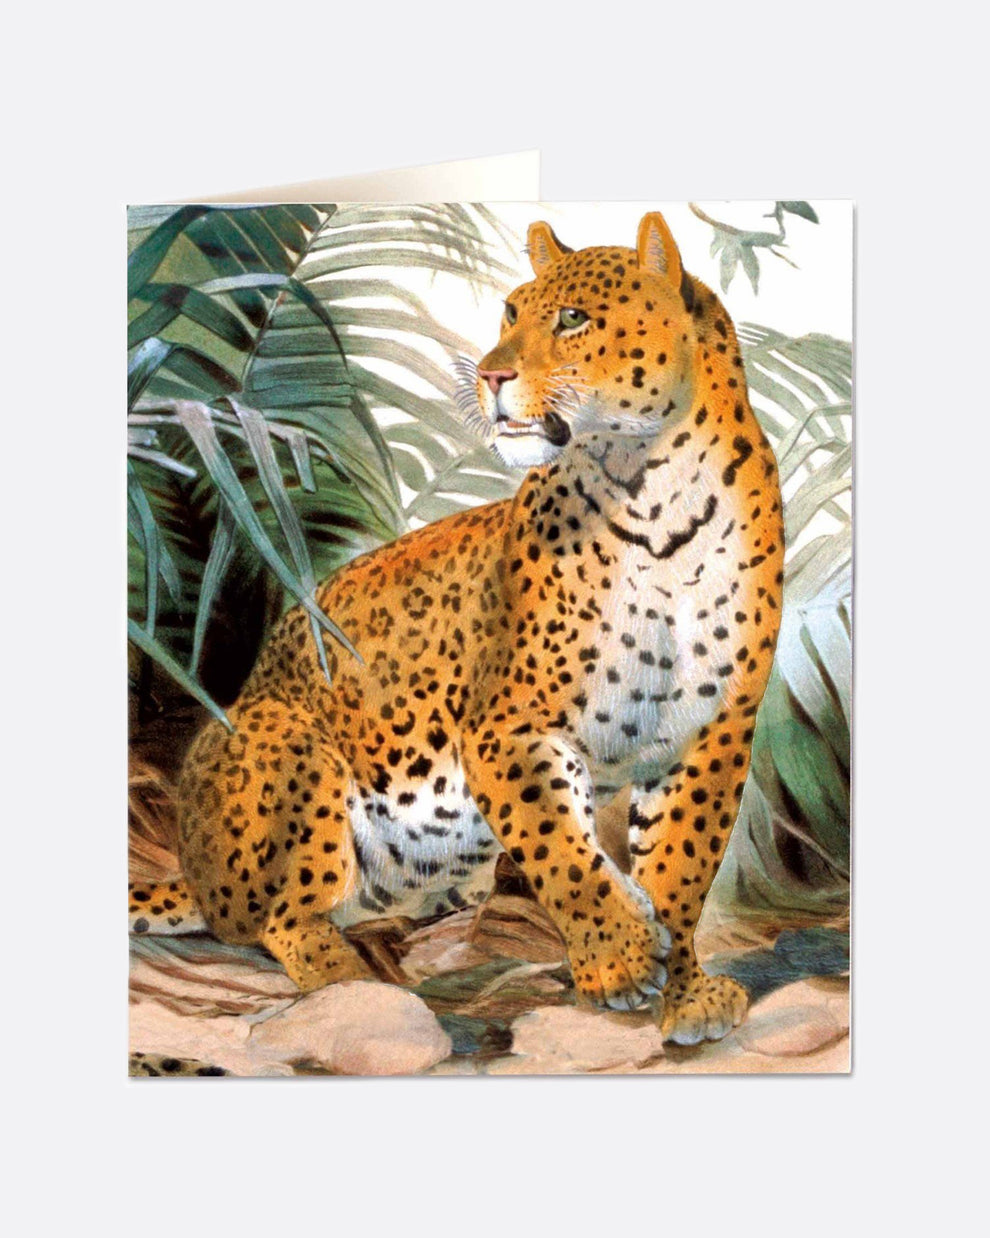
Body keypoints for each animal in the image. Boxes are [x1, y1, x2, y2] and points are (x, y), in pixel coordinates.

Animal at [129, 210, 784, 1046]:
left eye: (573, 319)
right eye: (510, 314)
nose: (489, 376)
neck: (656, 492)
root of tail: (191, 866)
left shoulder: (713, 732)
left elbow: (681, 866)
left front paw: (684, 991)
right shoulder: (509, 728)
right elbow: (564, 852)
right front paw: (622, 960)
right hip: (288, 744)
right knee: (278, 917)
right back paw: (348, 980)